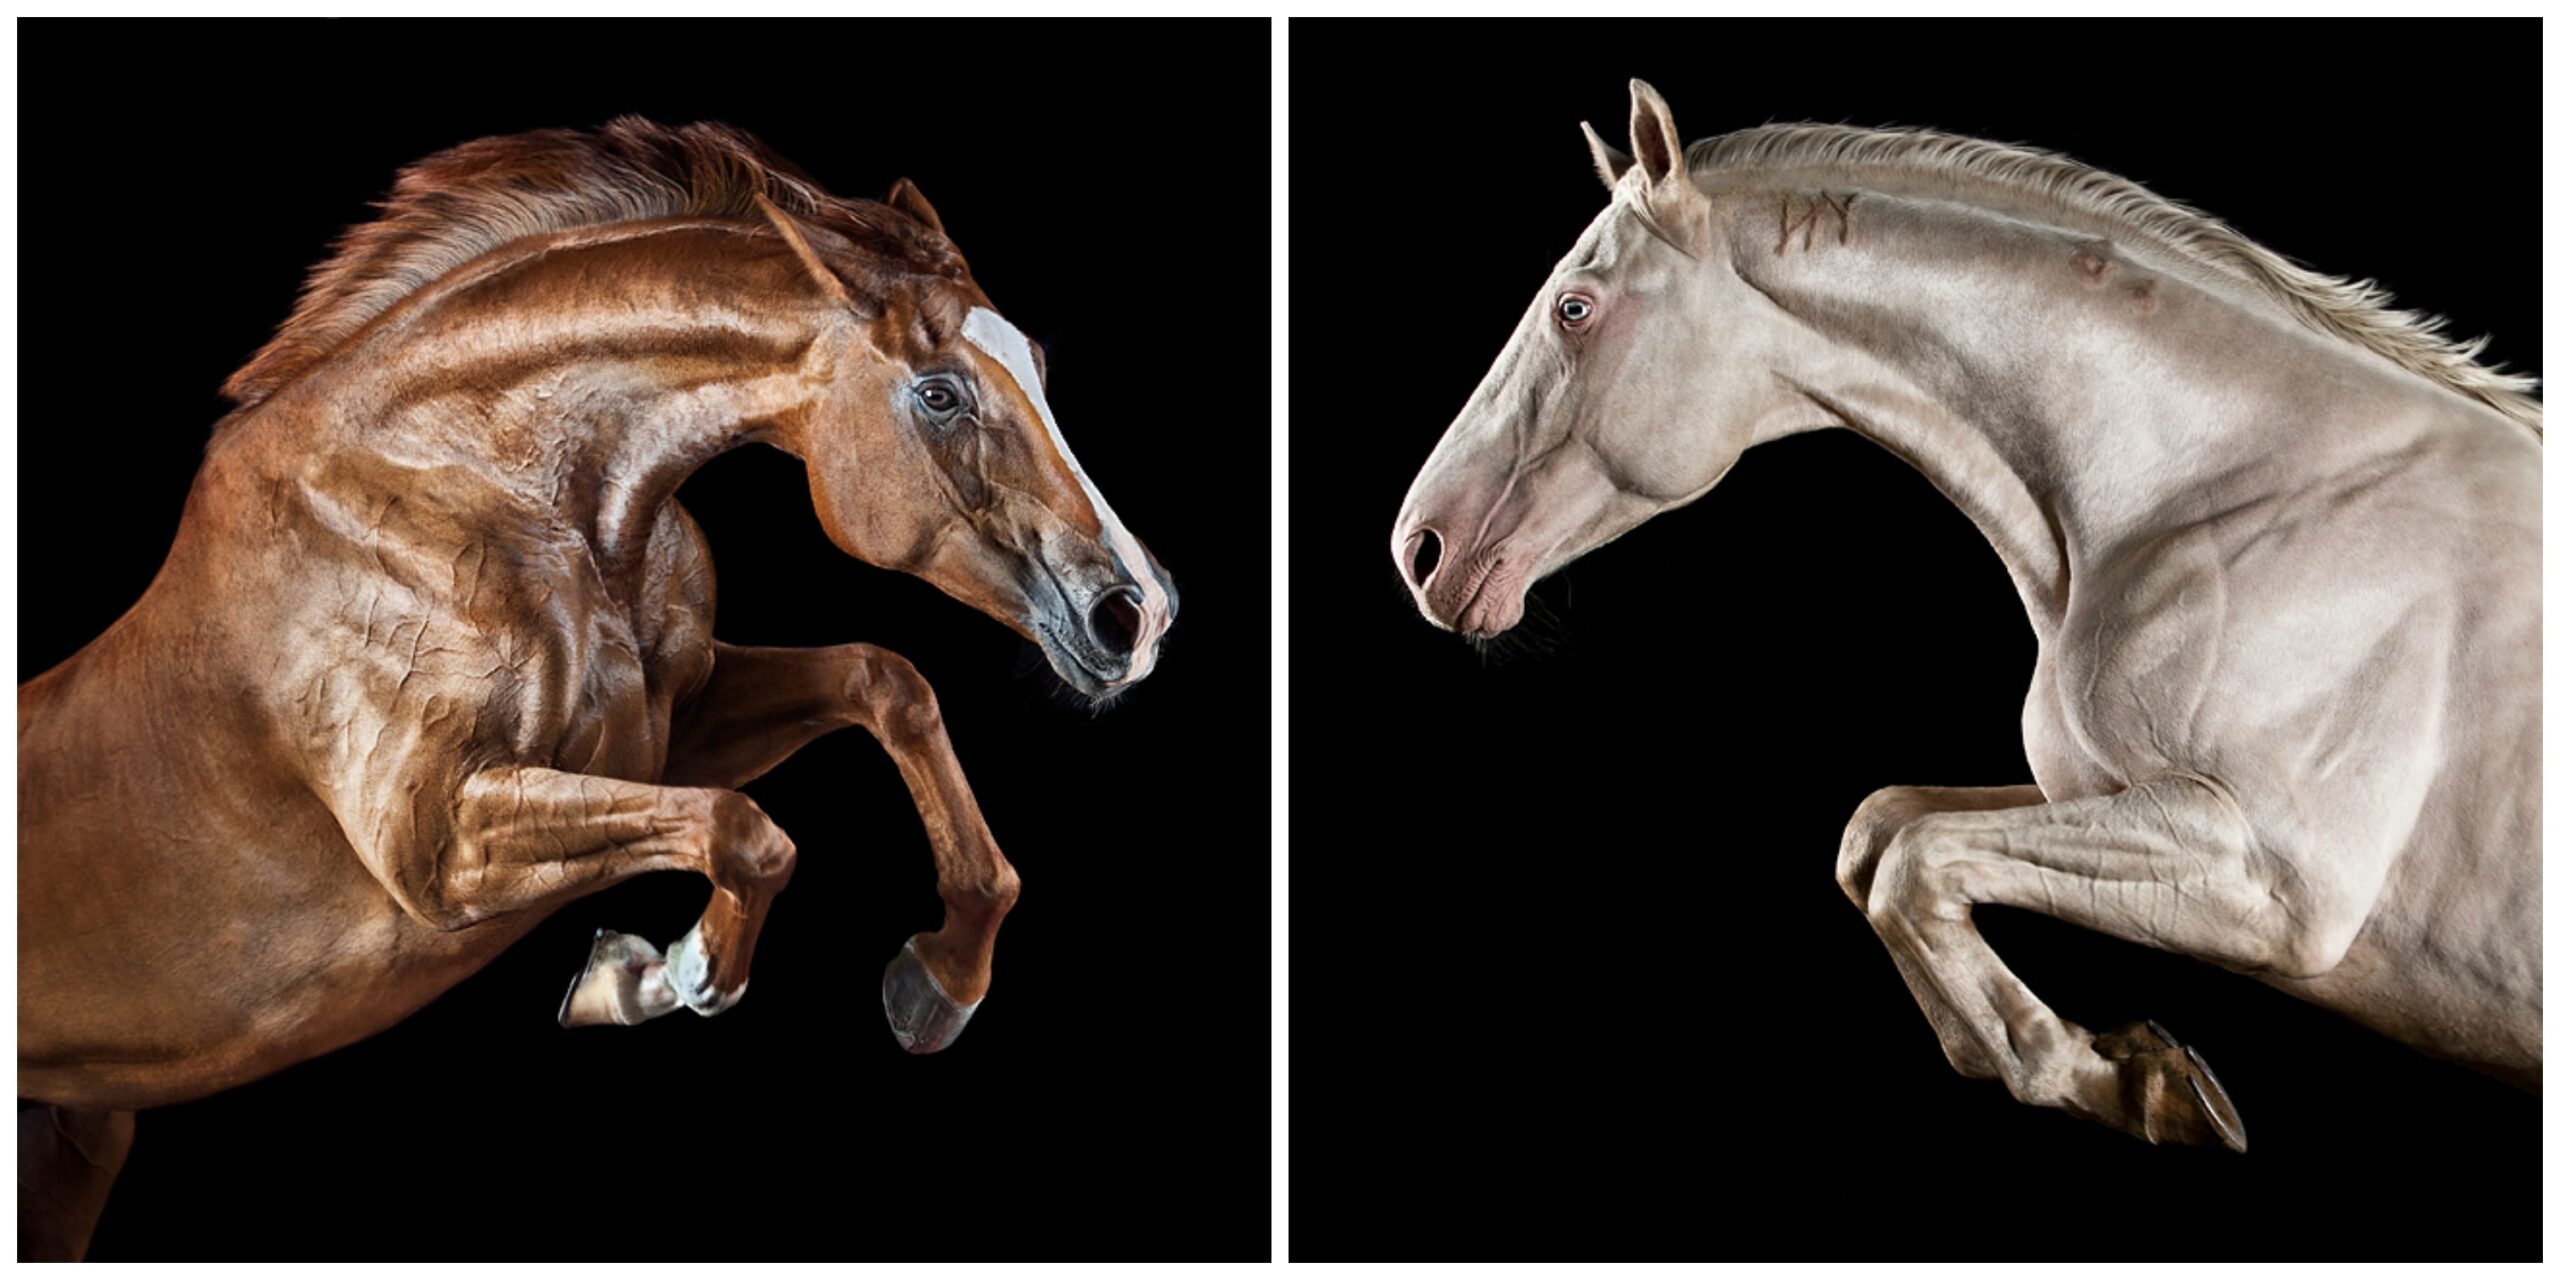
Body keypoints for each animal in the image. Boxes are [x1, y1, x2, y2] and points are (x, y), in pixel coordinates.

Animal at [16, 118, 1175, 1259]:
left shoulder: (674, 731)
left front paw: (936, 980)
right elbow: (746, 831)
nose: (1135, 615)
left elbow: (884, 683)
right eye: (939, 391)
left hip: (70, 1149)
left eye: (1035, 366)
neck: (483, 490)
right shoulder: (441, 850)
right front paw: (653, 975)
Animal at [1390, 81, 2539, 1152]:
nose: (1420, 550)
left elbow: (1915, 861)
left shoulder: (2273, 883)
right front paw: (2131, 1068)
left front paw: (2120, 1081)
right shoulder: (2110, 800)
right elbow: (1878, 832)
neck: (2231, 488)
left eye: (1573, 308)